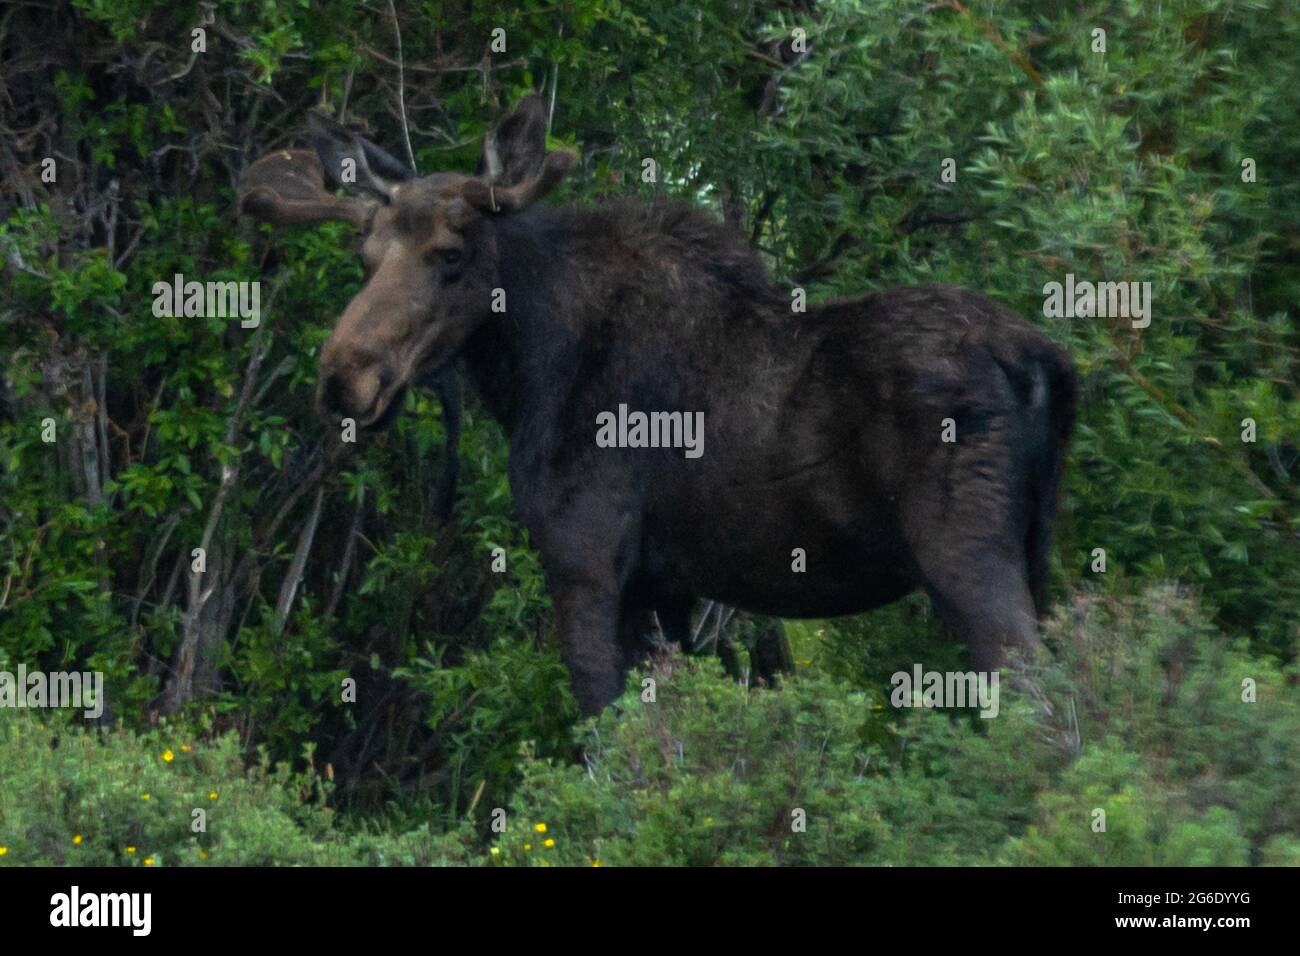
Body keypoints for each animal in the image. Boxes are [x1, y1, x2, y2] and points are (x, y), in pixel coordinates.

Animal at [238, 95, 1077, 715]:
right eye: (365, 258)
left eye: (449, 255)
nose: (344, 380)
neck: (531, 372)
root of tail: (1042, 357)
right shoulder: (665, 589)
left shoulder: (585, 563)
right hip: (1036, 552)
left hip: (965, 553)